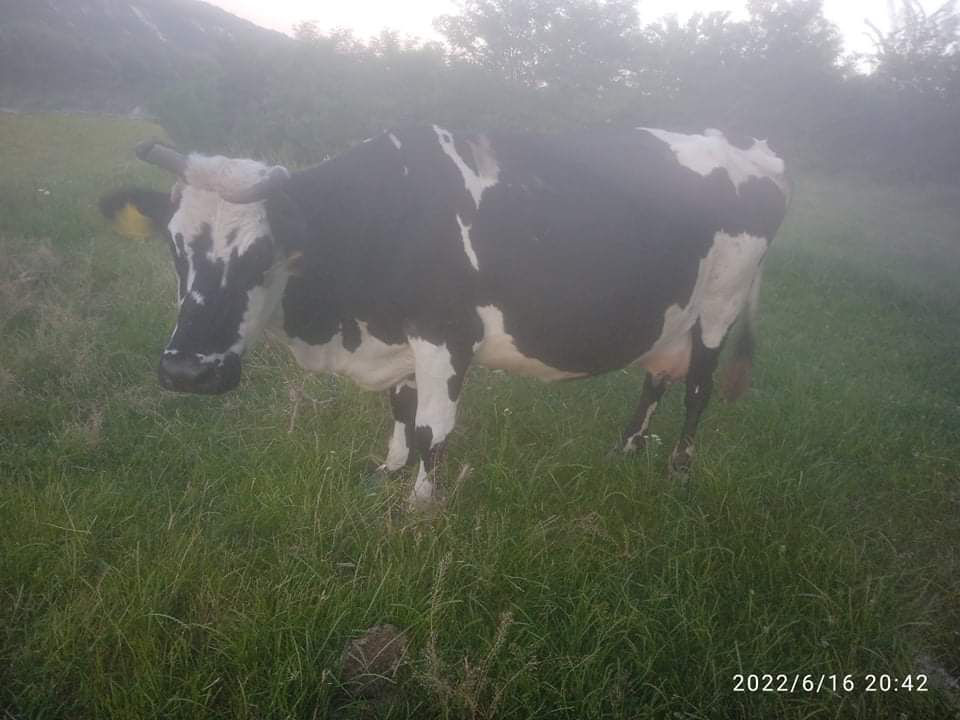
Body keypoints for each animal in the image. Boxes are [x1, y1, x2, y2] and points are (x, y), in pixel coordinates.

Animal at [100, 126, 788, 506]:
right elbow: (402, 412)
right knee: (655, 377)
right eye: (174, 246)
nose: (187, 372)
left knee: (698, 385)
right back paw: (624, 450)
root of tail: (754, 147)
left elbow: (434, 425)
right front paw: (386, 472)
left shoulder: (446, 335)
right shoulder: (397, 339)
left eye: (263, 253)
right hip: (672, 313)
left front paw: (421, 505)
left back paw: (679, 470)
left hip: (722, 301)